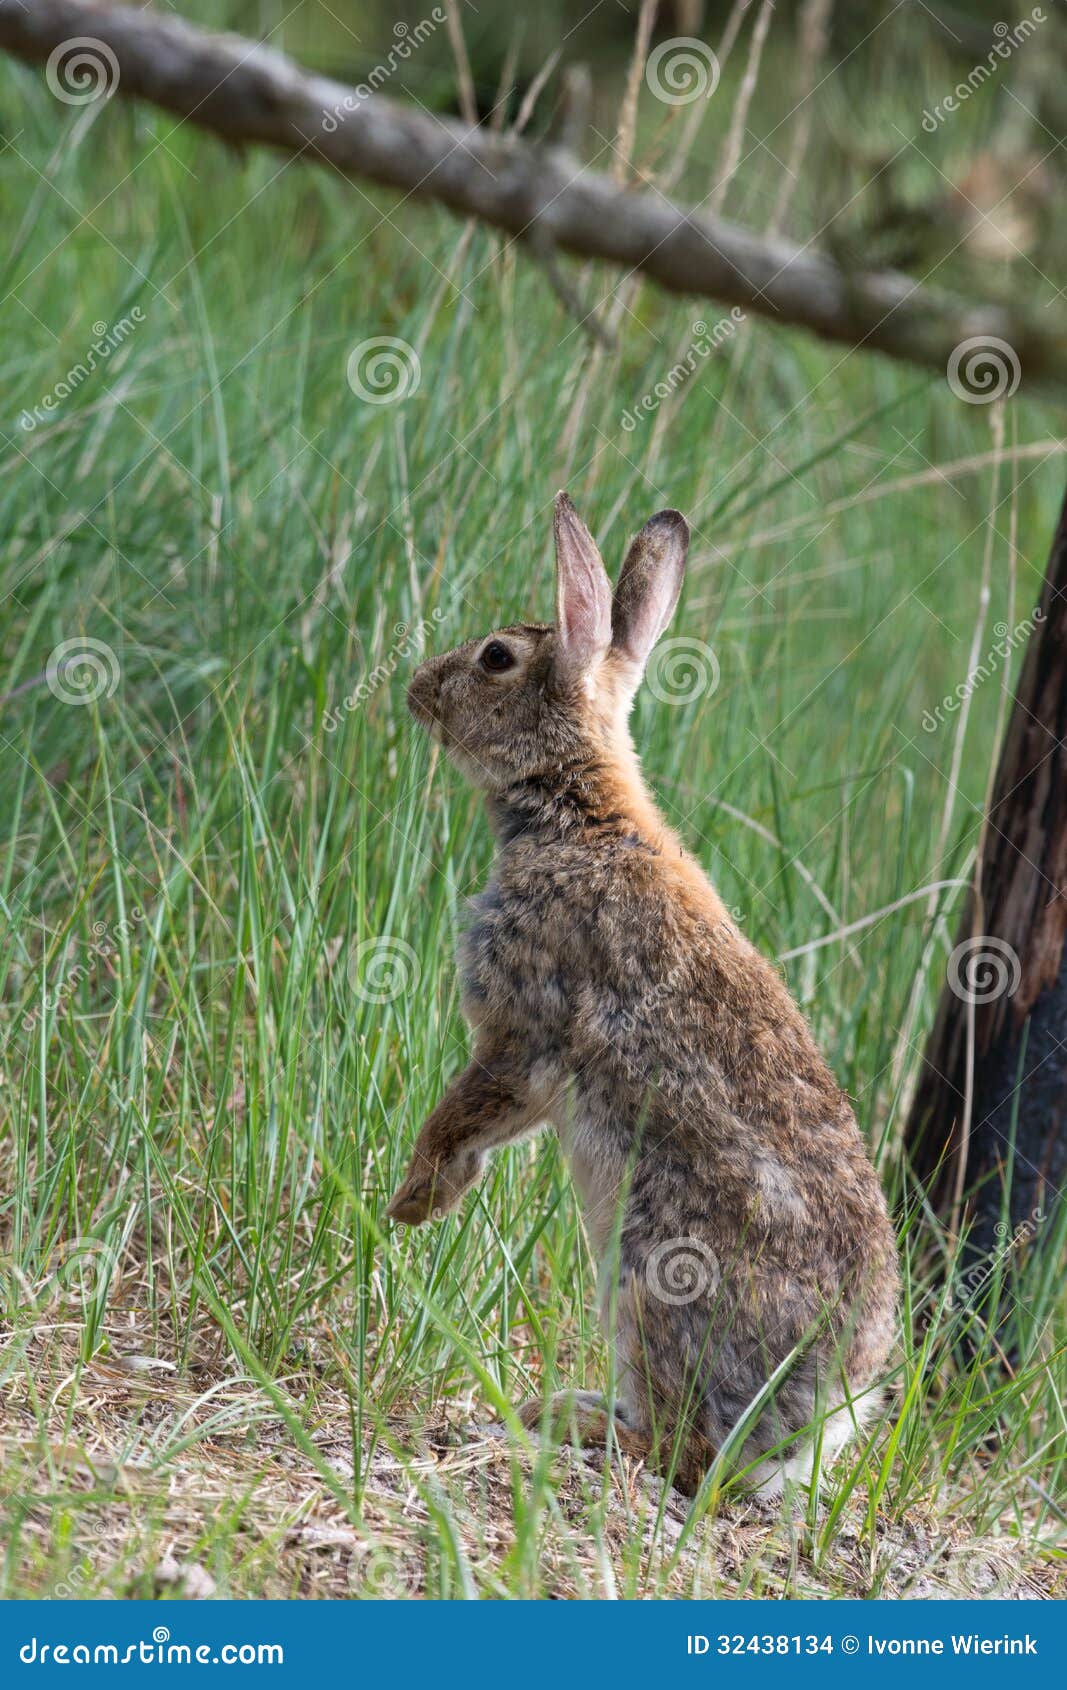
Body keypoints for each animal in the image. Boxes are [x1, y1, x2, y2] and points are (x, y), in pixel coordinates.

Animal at [386, 492, 899, 1498]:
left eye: (495, 658)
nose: (421, 686)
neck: (581, 811)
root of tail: (817, 1415)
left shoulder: (522, 1032)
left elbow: (467, 1110)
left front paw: (412, 1204)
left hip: (650, 1275)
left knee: (683, 1449)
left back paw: (569, 1420)